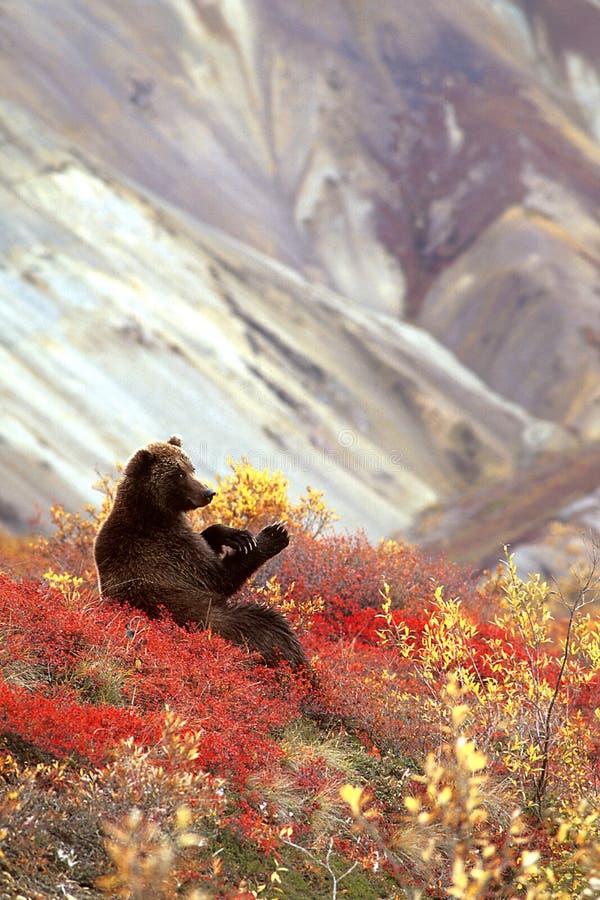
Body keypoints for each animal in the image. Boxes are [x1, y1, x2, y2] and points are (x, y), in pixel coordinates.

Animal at [93, 436, 306, 669]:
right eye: (178, 473)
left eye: (191, 467)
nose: (208, 492)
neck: (152, 513)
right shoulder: (168, 550)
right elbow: (219, 576)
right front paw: (273, 535)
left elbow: (209, 542)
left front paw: (235, 536)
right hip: (213, 619)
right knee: (268, 625)